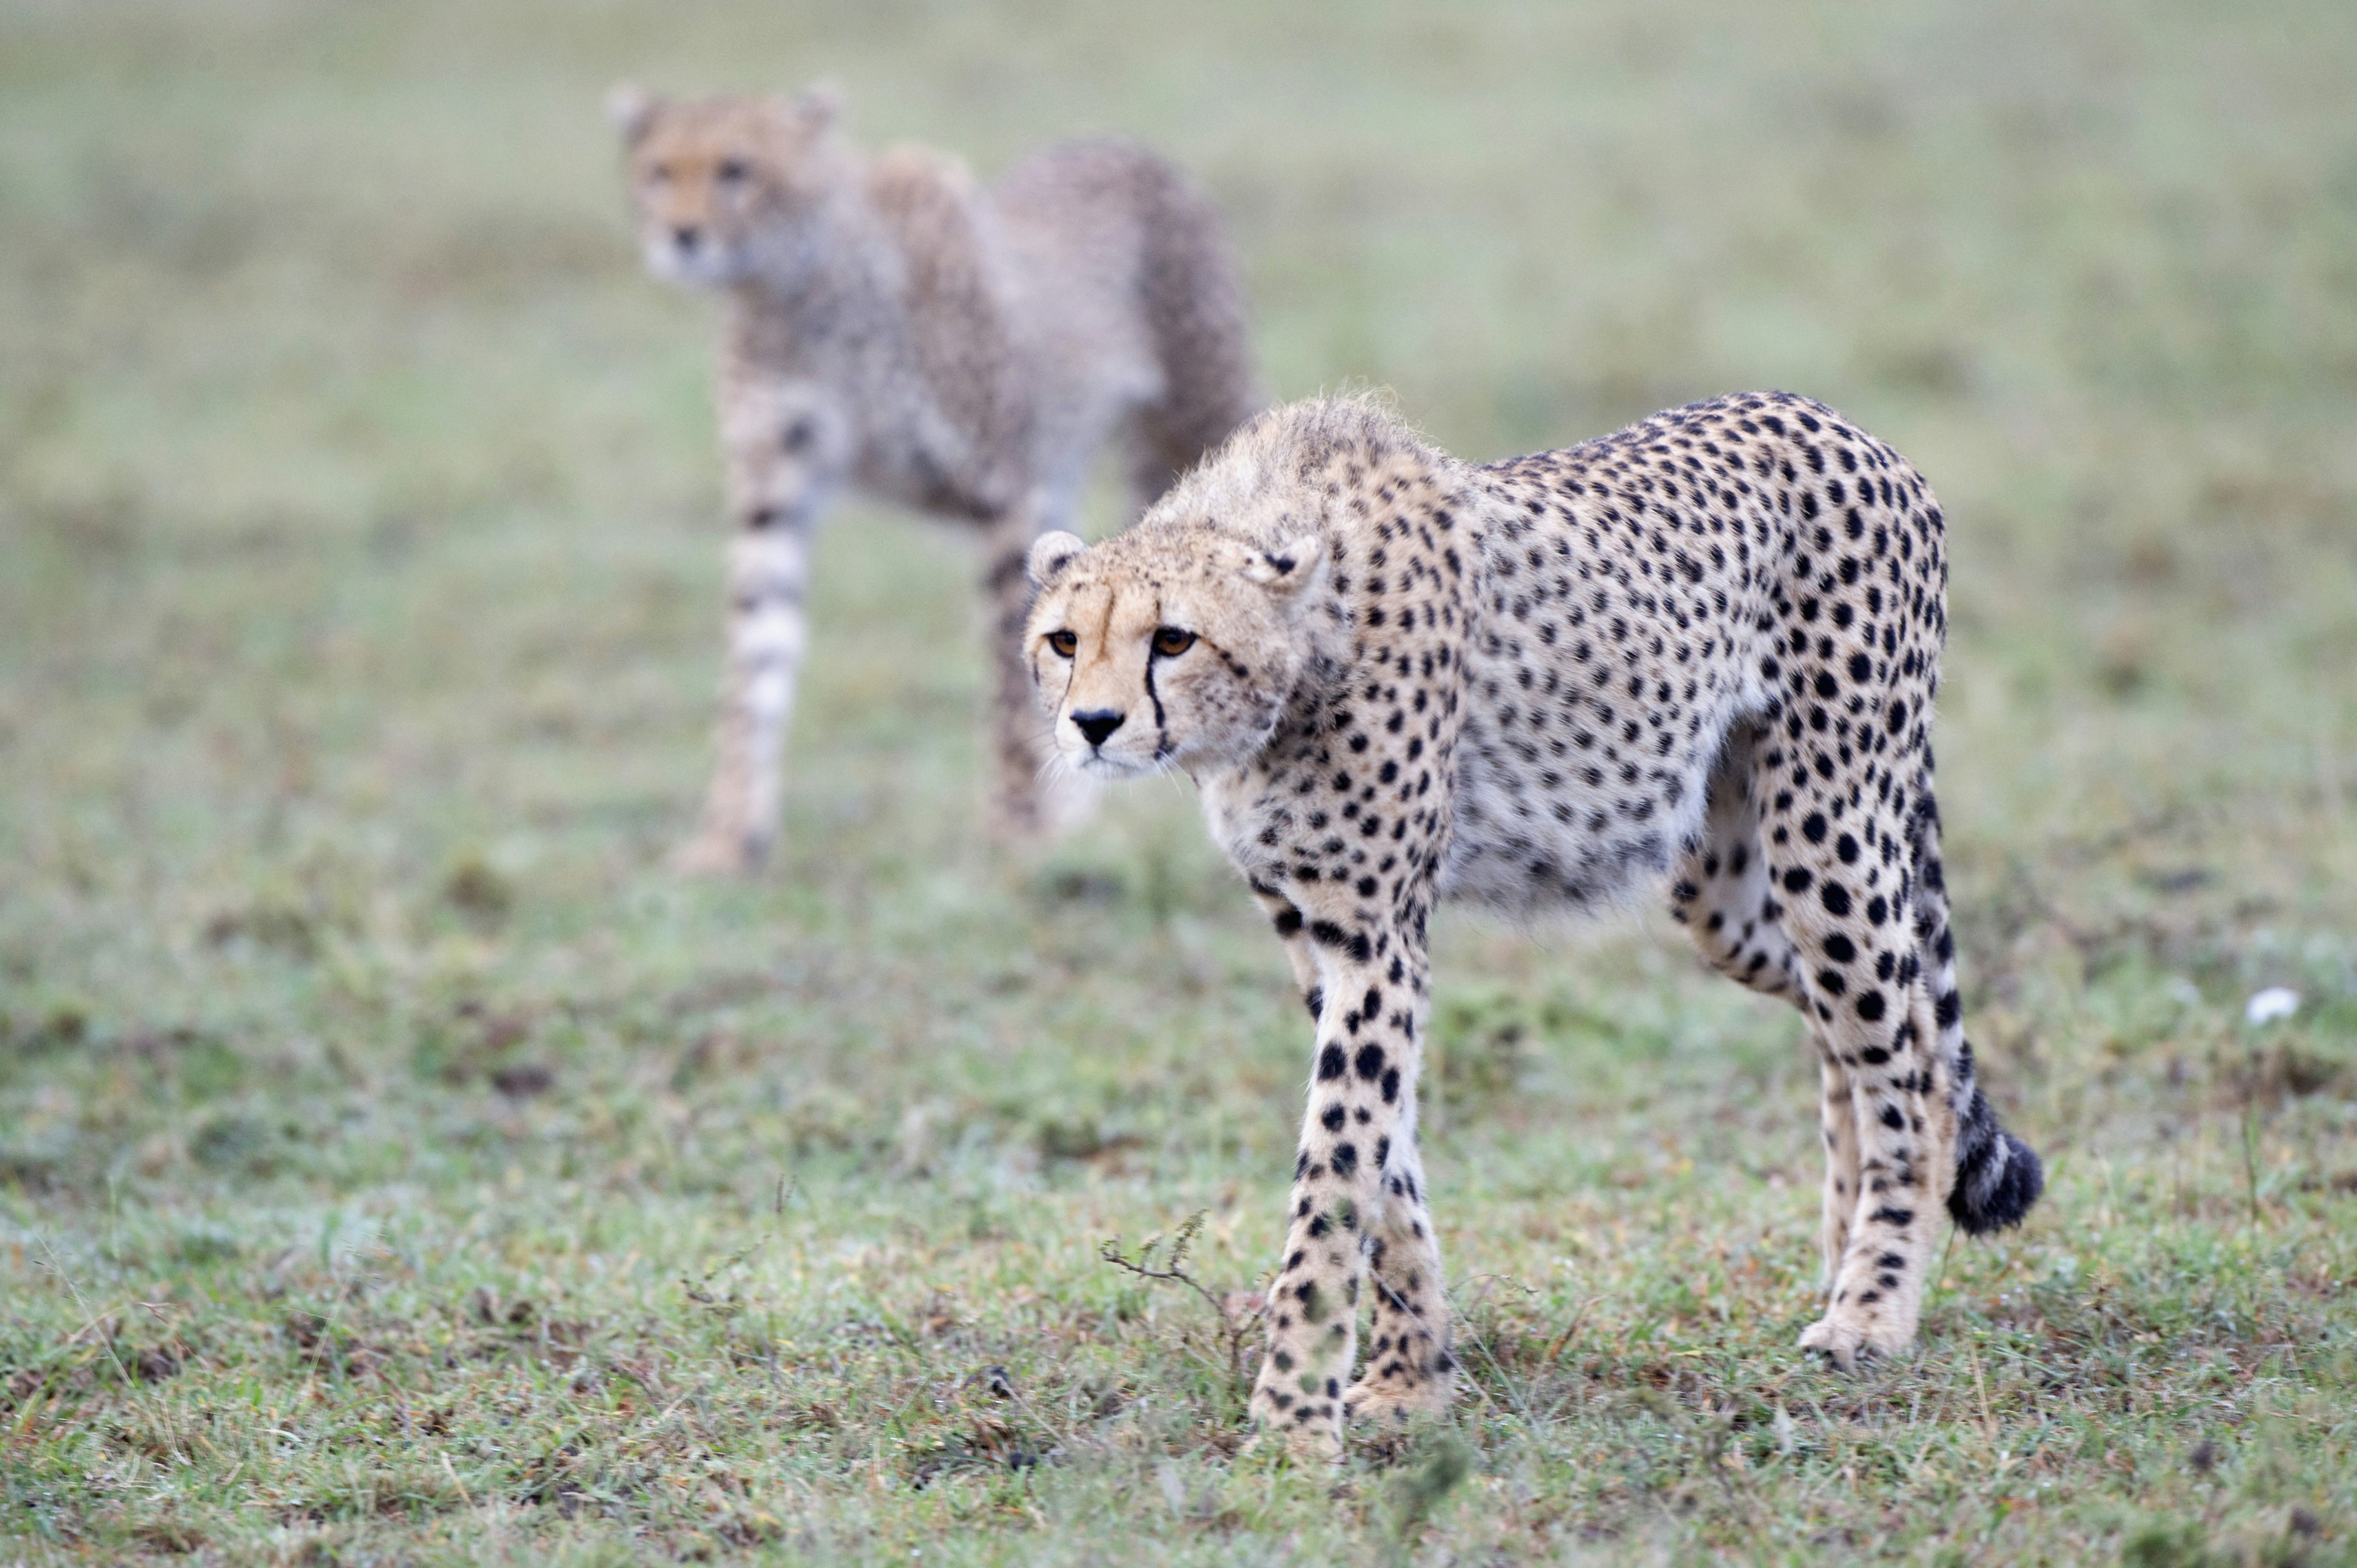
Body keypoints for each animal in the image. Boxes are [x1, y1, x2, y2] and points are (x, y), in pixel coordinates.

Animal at [611, 85, 1262, 871]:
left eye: (737, 170)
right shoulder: (774, 497)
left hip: (1201, 414)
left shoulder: (1002, 493)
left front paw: (1017, 826)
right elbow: (755, 659)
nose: (683, 235)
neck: (791, 292)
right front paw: (730, 839)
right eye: (658, 171)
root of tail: (1118, 142)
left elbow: (1011, 674)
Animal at [1023, 389, 2043, 1458]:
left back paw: (1873, 1306)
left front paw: (1293, 1424)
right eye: (1065, 641)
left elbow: (1337, 1174)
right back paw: (1846, 1254)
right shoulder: (1318, 935)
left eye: (1172, 640)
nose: (1092, 725)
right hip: (1723, 886)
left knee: (1907, 1055)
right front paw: (1411, 1378)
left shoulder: (1377, 936)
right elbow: (1385, 1172)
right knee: (1868, 1022)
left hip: (1831, 828)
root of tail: (1833, 419)